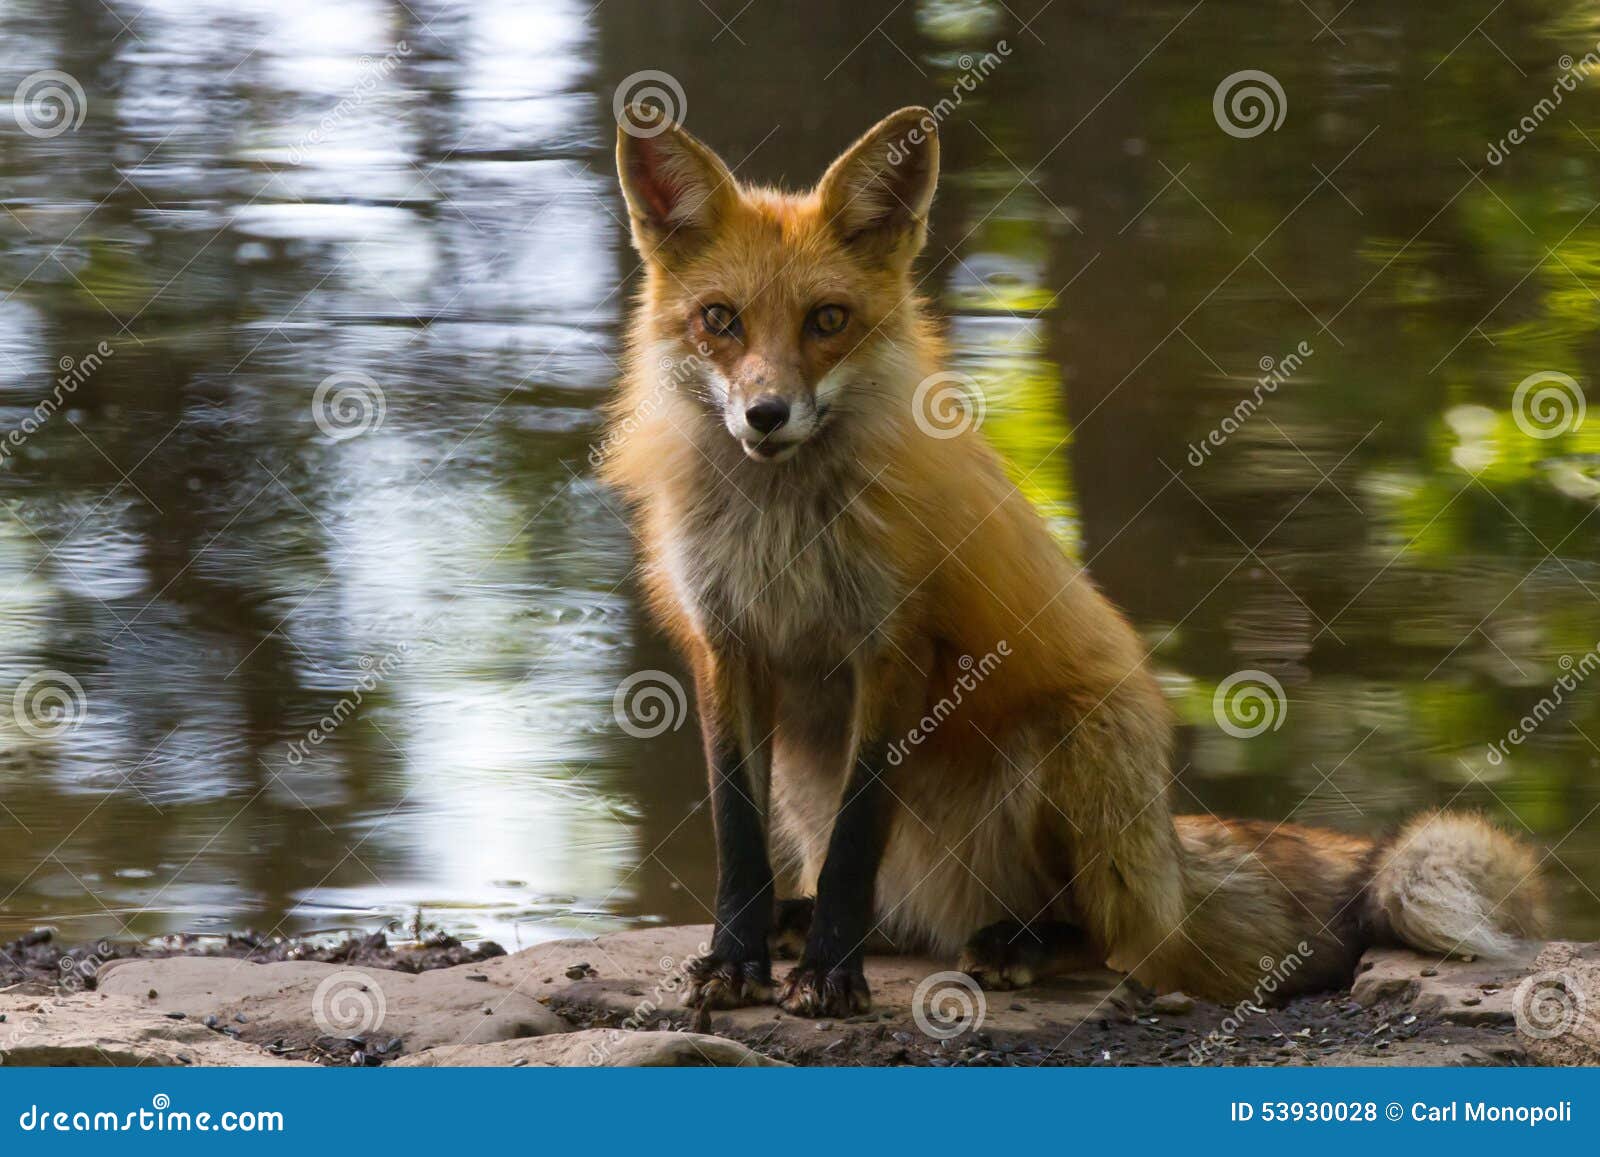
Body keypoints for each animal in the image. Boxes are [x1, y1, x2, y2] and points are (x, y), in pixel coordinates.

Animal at [600, 104, 1548, 1018]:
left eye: (826, 321)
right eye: (720, 320)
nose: (765, 414)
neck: (782, 526)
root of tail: (1168, 855)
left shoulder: (894, 646)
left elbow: (855, 844)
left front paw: (831, 978)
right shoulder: (726, 646)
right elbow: (737, 836)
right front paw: (737, 959)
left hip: (1069, 743)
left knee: (1121, 942)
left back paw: (1021, 941)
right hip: (815, 774)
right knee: (904, 915)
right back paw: (816, 923)